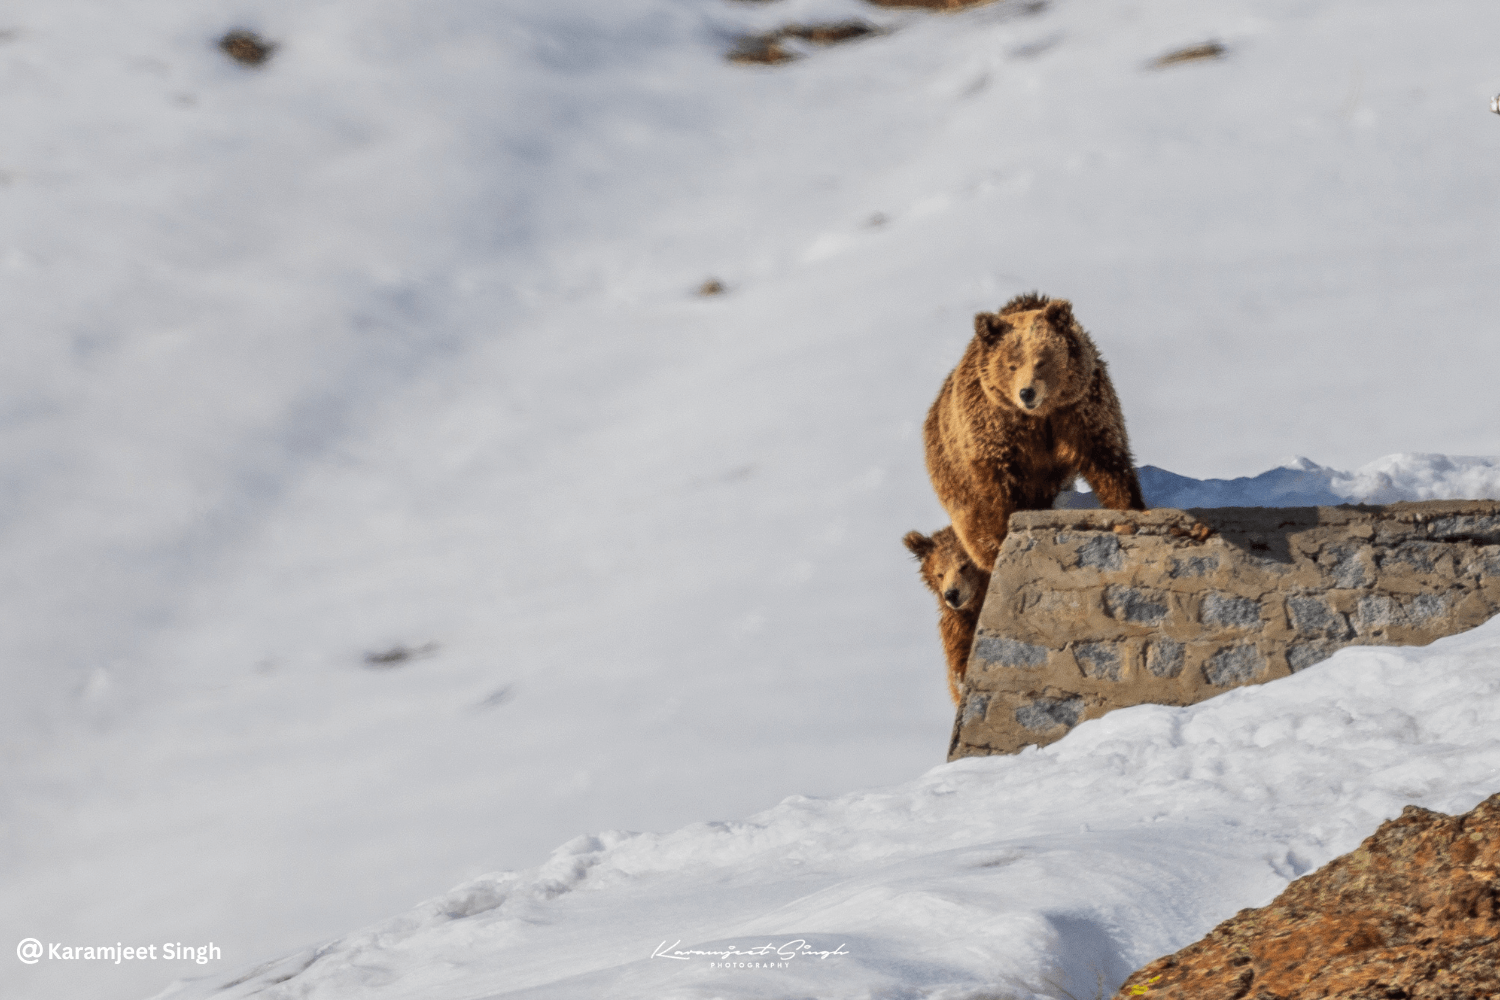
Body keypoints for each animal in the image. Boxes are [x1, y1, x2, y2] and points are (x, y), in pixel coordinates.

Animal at [923, 292, 1145, 572]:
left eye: (1042, 361)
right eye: (1012, 365)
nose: (1026, 393)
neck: (1040, 416)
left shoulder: (1079, 409)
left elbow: (1108, 460)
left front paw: (1130, 509)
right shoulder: (997, 430)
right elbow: (1002, 491)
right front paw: (1008, 533)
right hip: (952, 472)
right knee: (974, 527)